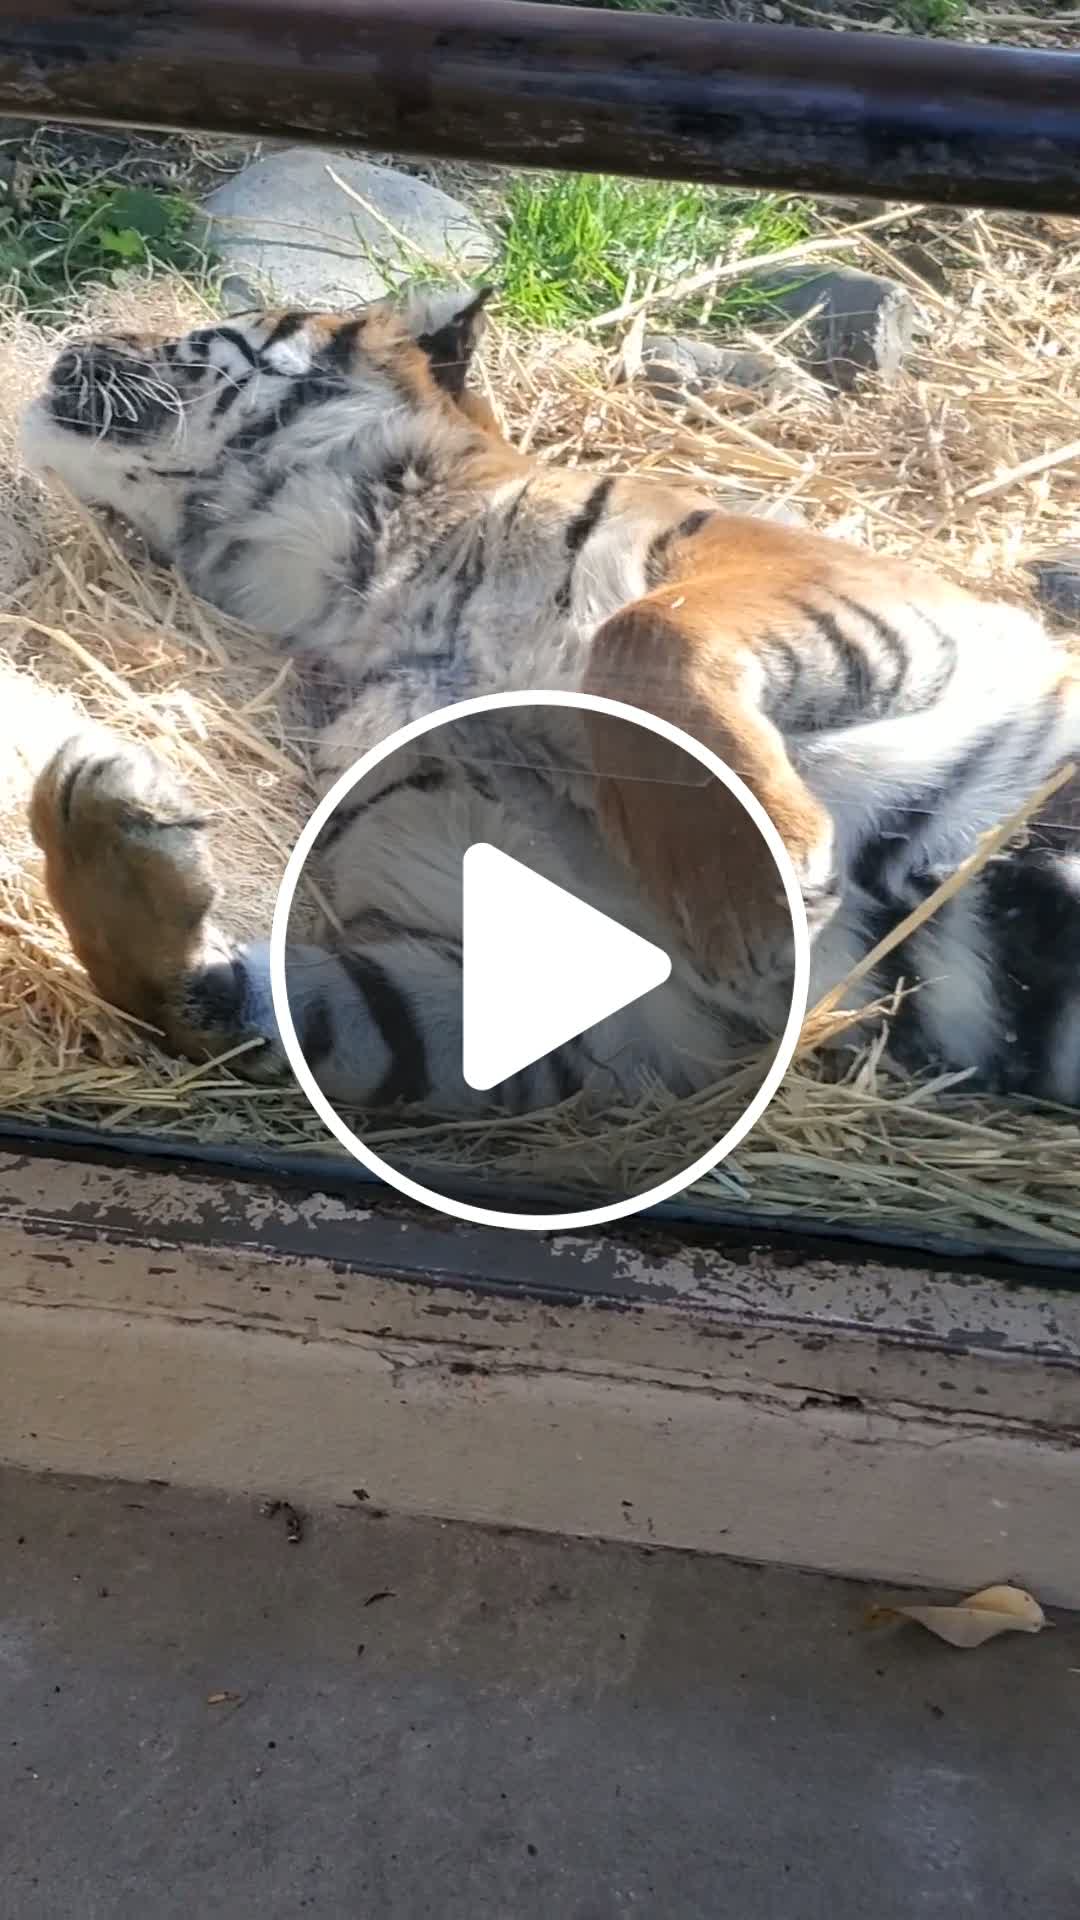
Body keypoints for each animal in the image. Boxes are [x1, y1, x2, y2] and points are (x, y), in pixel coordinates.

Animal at [18, 285, 1080, 1118]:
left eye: (201, 335)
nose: (67, 348)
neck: (363, 595)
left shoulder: (851, 591)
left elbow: (645, 634)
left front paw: (753, 909)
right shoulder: (606, 990)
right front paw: (104, 844)